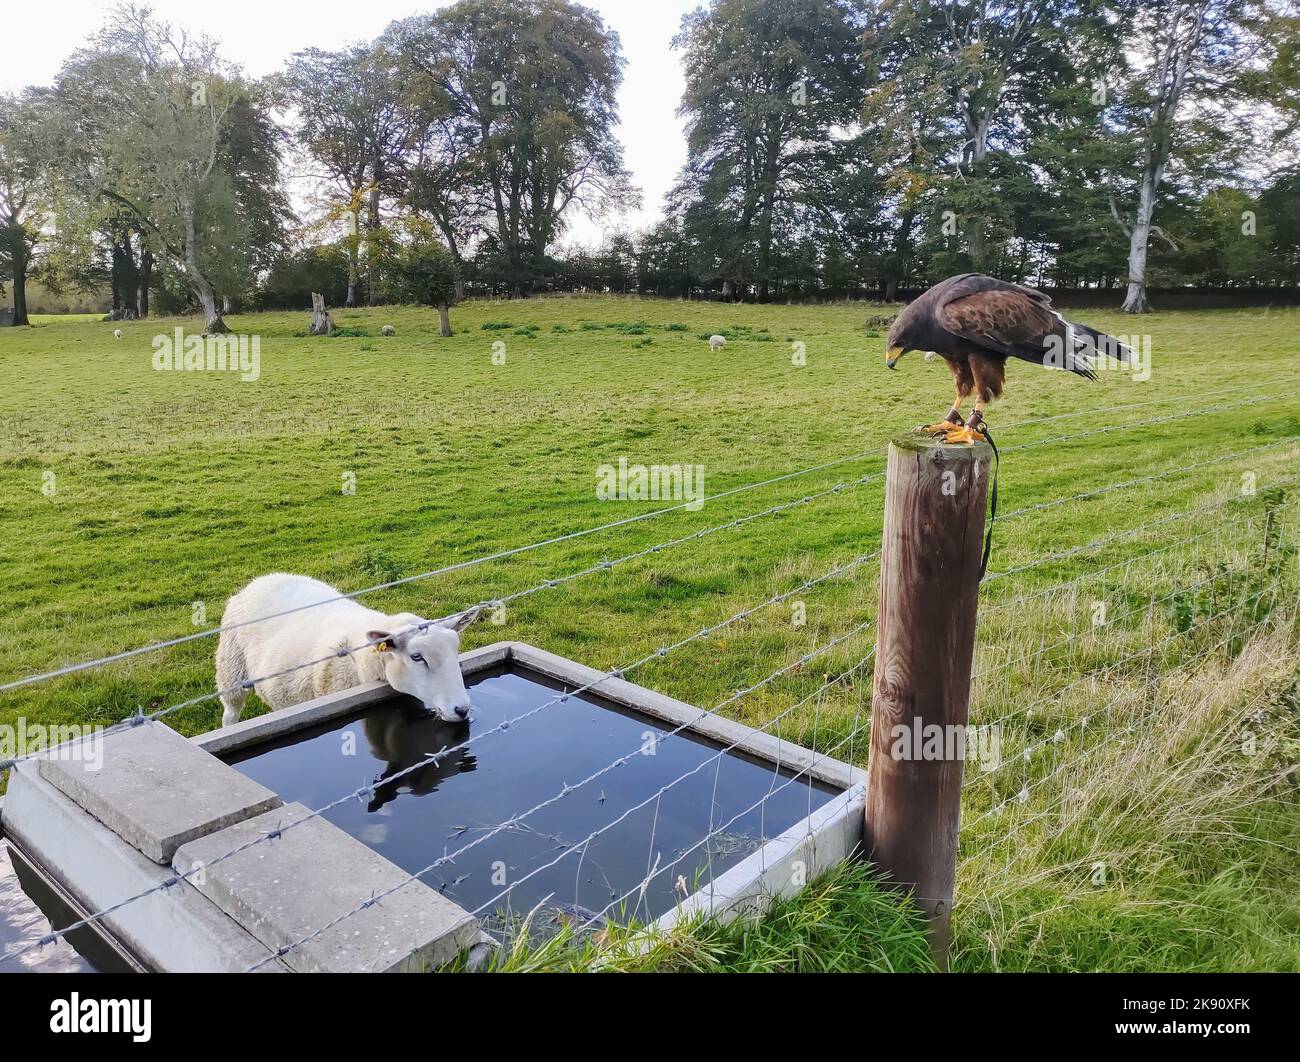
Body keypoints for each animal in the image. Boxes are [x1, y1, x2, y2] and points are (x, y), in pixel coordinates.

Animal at [215, 573, 482, 729]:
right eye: (417, 657)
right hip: (230, 665)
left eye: (456, 650)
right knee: (231, 709)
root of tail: (265, 577)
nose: (462, 710)